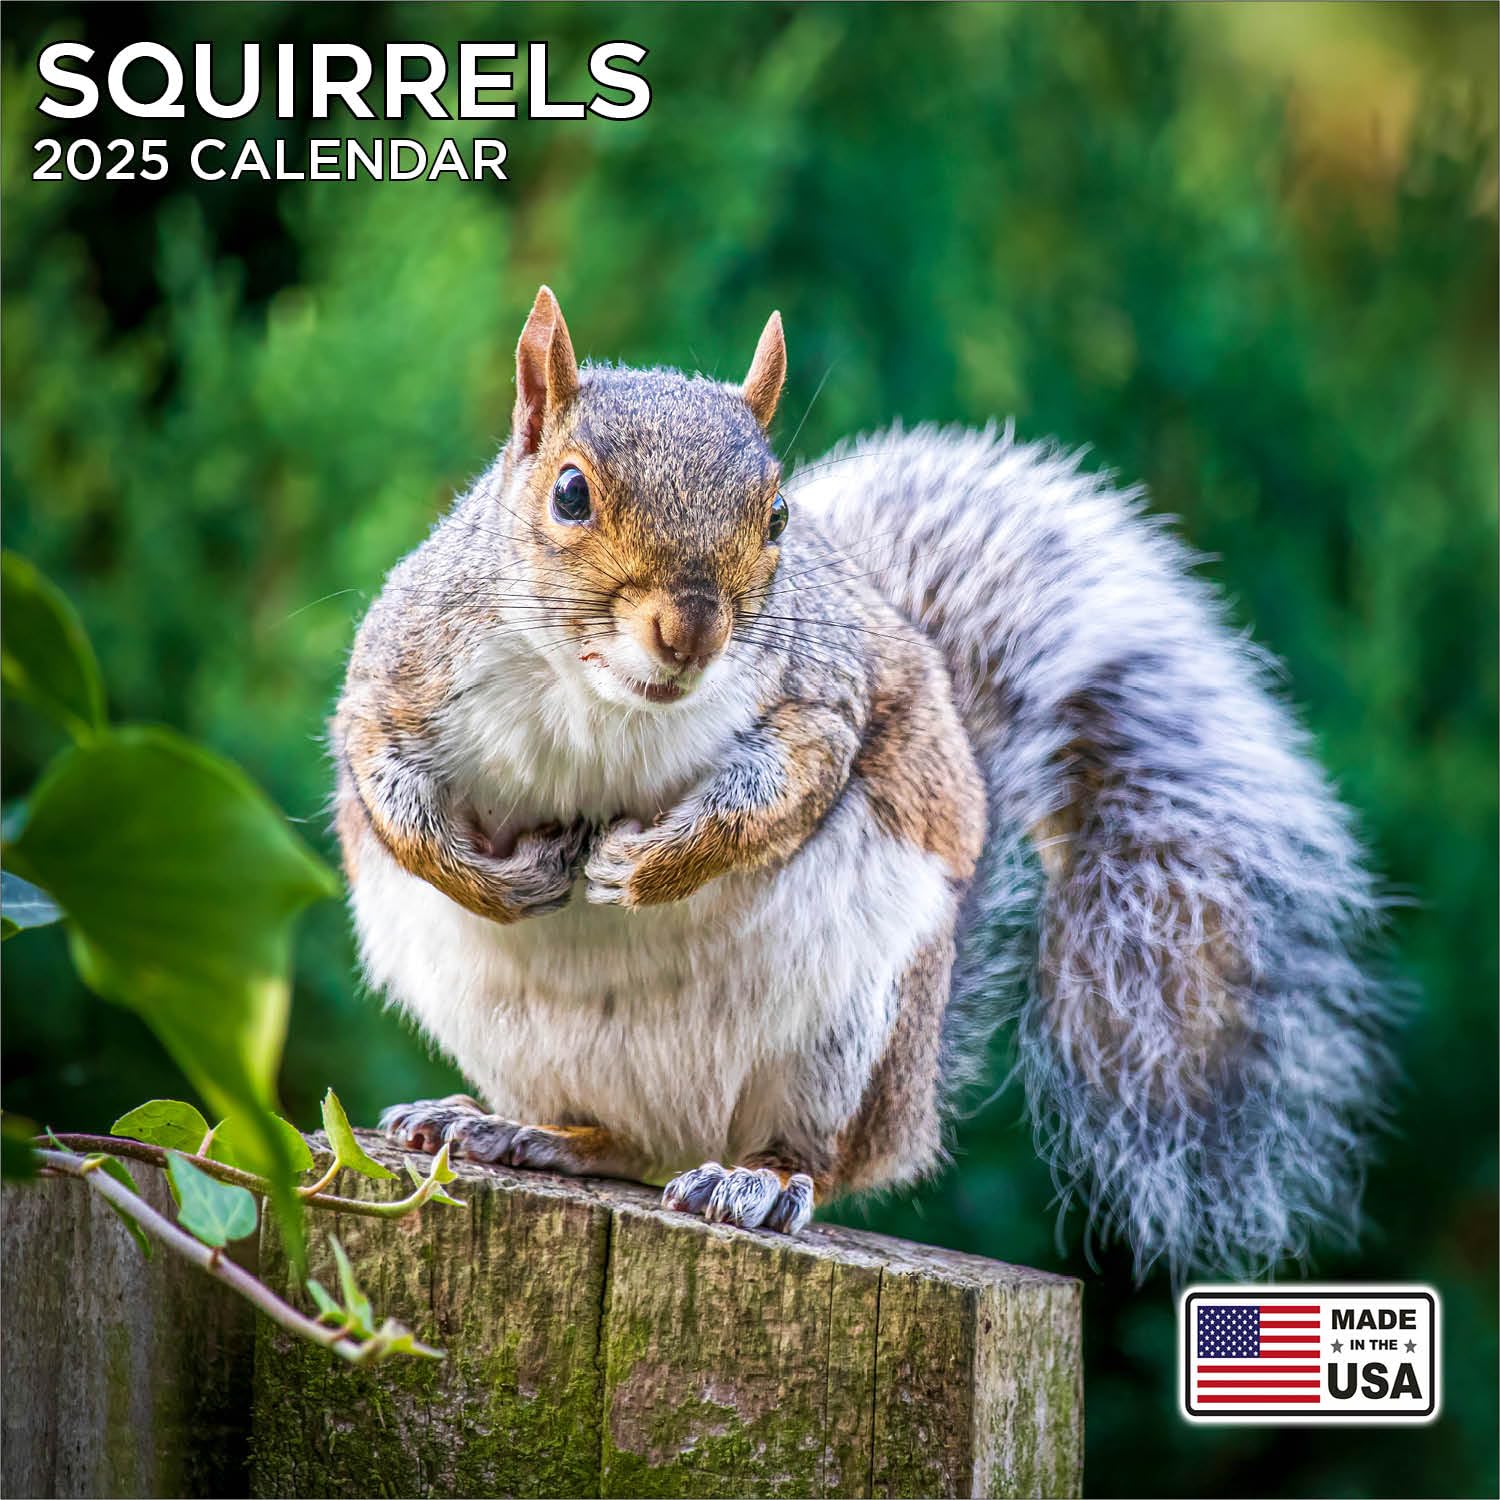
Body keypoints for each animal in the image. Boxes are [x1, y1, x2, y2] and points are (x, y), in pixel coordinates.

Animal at [333, 286, 1394, 1277]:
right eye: (568, 494)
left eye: (777, 514)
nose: (691, 630)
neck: (603, 702)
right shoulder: (399, 674)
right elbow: (385, 789)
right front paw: (497, 882)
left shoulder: (825, 698)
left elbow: (783, 792)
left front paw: (646, 866)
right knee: (616, 1141)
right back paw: (520, 1130)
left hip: (850, 1033)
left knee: (816, 1157)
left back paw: (757, 1181)